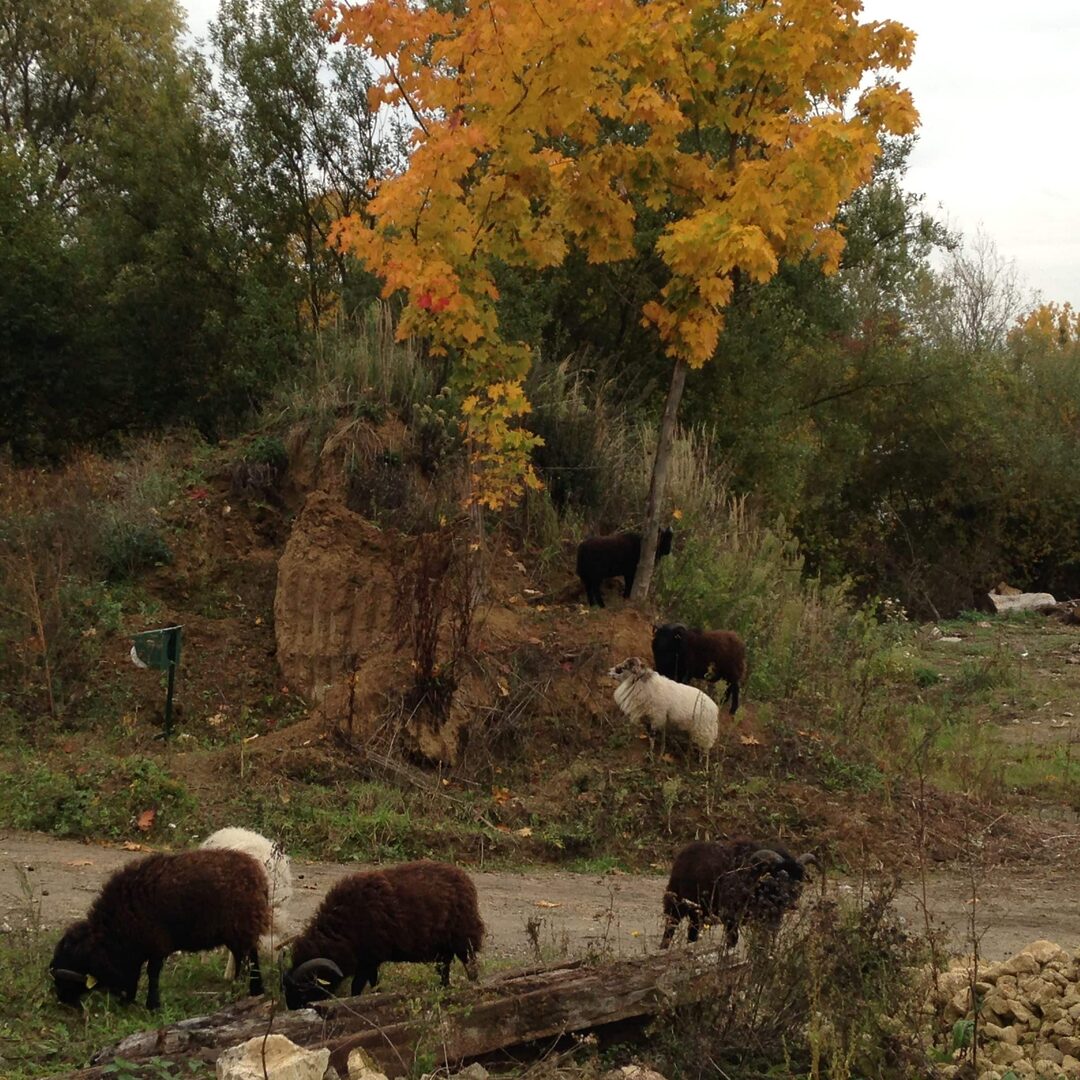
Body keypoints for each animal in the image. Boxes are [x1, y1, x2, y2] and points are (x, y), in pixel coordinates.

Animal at [49, 851, 270, 1010]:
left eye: (72, 966)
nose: (61, 999)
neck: (113, 933)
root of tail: (258, 874)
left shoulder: (155, 942)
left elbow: (152, 972)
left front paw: (152, 1004)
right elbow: (135, 972)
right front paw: (129, 999)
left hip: (242, 925)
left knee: (249, 957)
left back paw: (250, 989)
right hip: (239, 929)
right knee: (244, 956)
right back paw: (241, 985)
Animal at [280, 855, 483, 1006]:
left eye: (302, 989)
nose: (293, 1008)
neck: (340, 930)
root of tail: (464, 878)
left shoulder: (369, 960)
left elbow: (357, 987)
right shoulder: (369, 961)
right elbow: (374, 984)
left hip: (464, 939)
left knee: (471, 967)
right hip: (444, 948)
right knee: (444, 969)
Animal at [656, 838, 816, 950]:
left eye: (800, 879)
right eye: (779, 876)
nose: (792, 903)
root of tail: (684, 852)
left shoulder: (769, 919)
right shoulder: (730, 917)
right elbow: (733, 940)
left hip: (698, 912)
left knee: (692, 932)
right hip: (675, 902)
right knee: (669, 928)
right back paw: (664, 948)